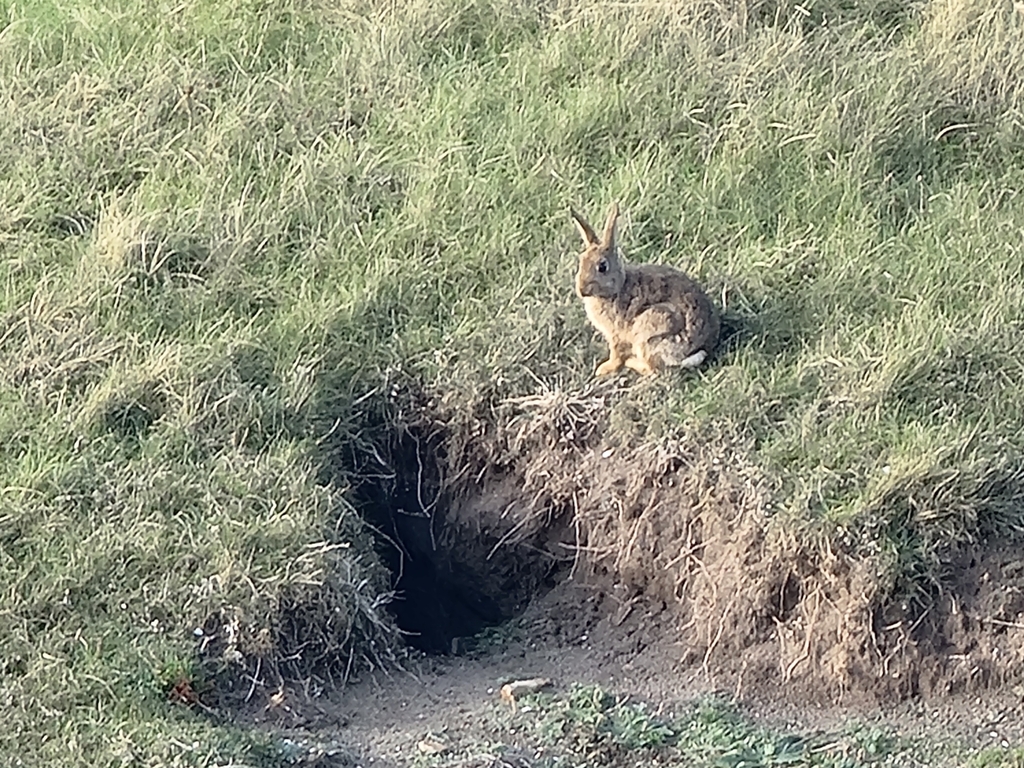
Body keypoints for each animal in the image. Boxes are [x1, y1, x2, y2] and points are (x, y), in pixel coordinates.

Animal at [571, 202, 719, 377]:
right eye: (581, 261)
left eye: (602, 267)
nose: (581, 290)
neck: (618, 287)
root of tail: (698, 350)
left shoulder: (616, 334)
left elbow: (616, 353)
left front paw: (604, 369)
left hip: (650, 328)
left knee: (652, 368)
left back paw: (631, 362)